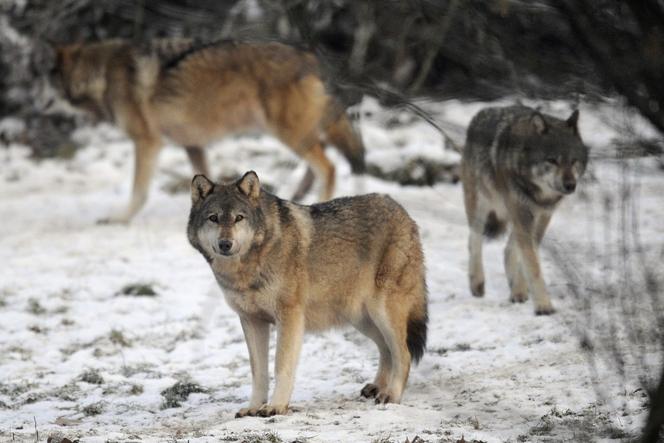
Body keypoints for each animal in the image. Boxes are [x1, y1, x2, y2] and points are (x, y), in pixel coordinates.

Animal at [50, 38, 365, 223]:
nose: (44, 107)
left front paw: (120, 217)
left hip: (291, 134)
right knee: (321, 163)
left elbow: (138, 190)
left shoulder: (147, 141)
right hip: (300, 134)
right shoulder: (193, 145)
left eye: (49, 82)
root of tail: (310, 59)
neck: (102, 74)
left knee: (328, 167)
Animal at [187, 171, 427, 416]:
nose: (225, 244)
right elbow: (258, 372)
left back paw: (391, 395)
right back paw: (377, 387)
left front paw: (276, 406)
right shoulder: (251, 320)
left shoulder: (289, 316)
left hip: (382, 312)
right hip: (361, 319)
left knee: (404, 354)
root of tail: (401, 210)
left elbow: (281, 366)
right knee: (386, 349)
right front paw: (253, 407)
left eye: (239, 218)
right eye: (213, 218)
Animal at [461, 105, 588, 315]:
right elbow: (532, 264)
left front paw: (520, 291)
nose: (570, 185)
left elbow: (526, 257)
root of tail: (481, 113)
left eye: (573, 161)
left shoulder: (542, 216)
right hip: (481, 205)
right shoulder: (522, 213)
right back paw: (477, 283)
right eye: (552, 160)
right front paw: (544, 306)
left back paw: (516, 288)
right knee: (474, 240)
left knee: (508, 249)